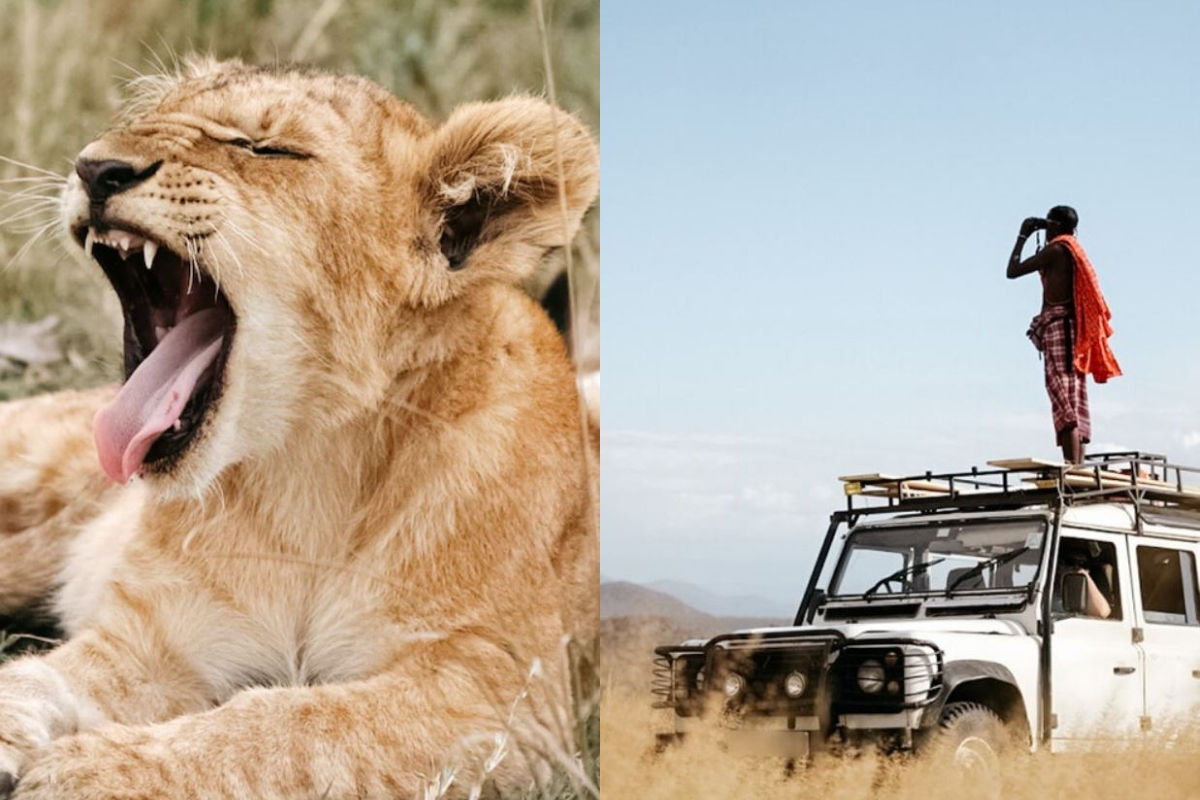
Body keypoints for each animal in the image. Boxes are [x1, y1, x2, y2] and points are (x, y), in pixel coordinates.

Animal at [0, 58, 598, 799]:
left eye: (265, 148)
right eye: (145, 117)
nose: (94, 167)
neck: (308, 467)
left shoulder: (509, 700)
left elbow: (288, 728)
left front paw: (93, 769)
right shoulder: (151, 644)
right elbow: (33, 681)